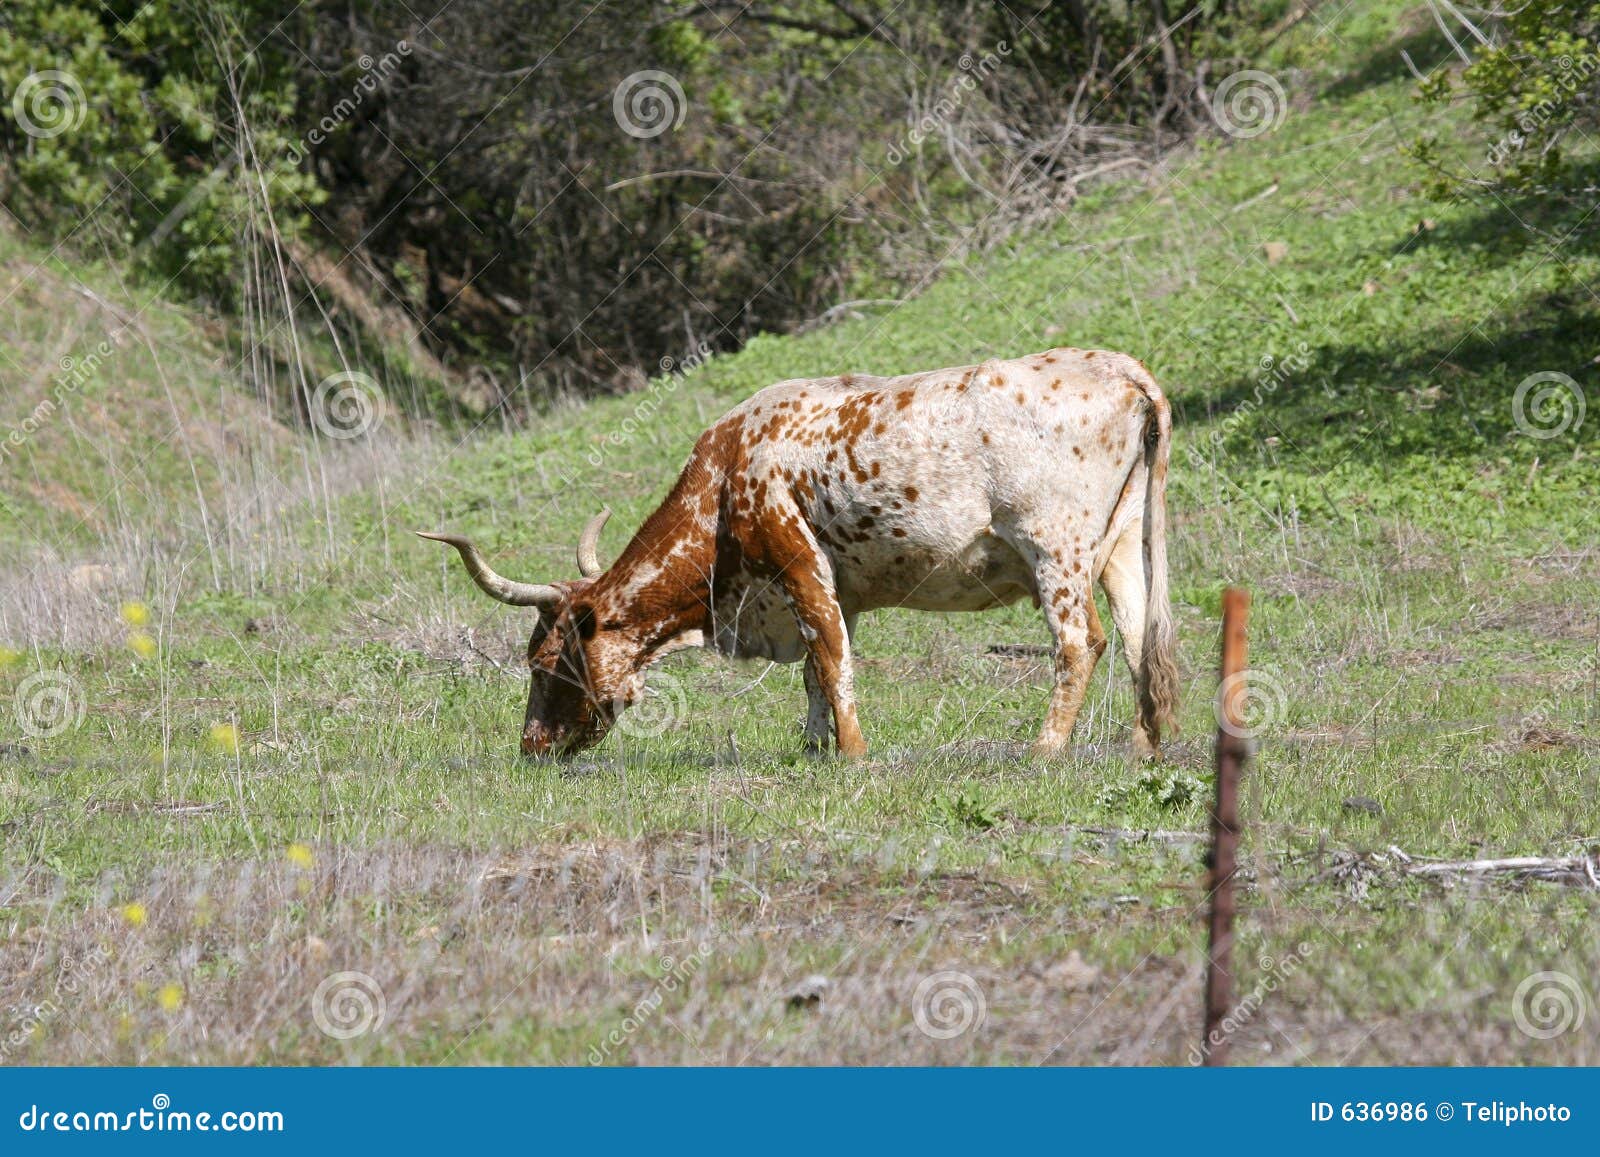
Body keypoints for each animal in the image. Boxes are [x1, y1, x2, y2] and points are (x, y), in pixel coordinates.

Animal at [420, 346, 1179, 760]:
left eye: (546, 660)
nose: (532, 746)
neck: (725, 480)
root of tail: (1118, 367)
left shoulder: (798, 564)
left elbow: (832, 659)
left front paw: (853, 754)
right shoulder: (839, 583)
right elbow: (817, 667)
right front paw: (815, 746)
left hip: (1055, 548)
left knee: (1081, 642)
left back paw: (1043, 749)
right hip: (1120, 547)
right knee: (1140, 638)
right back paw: (1144, 746)